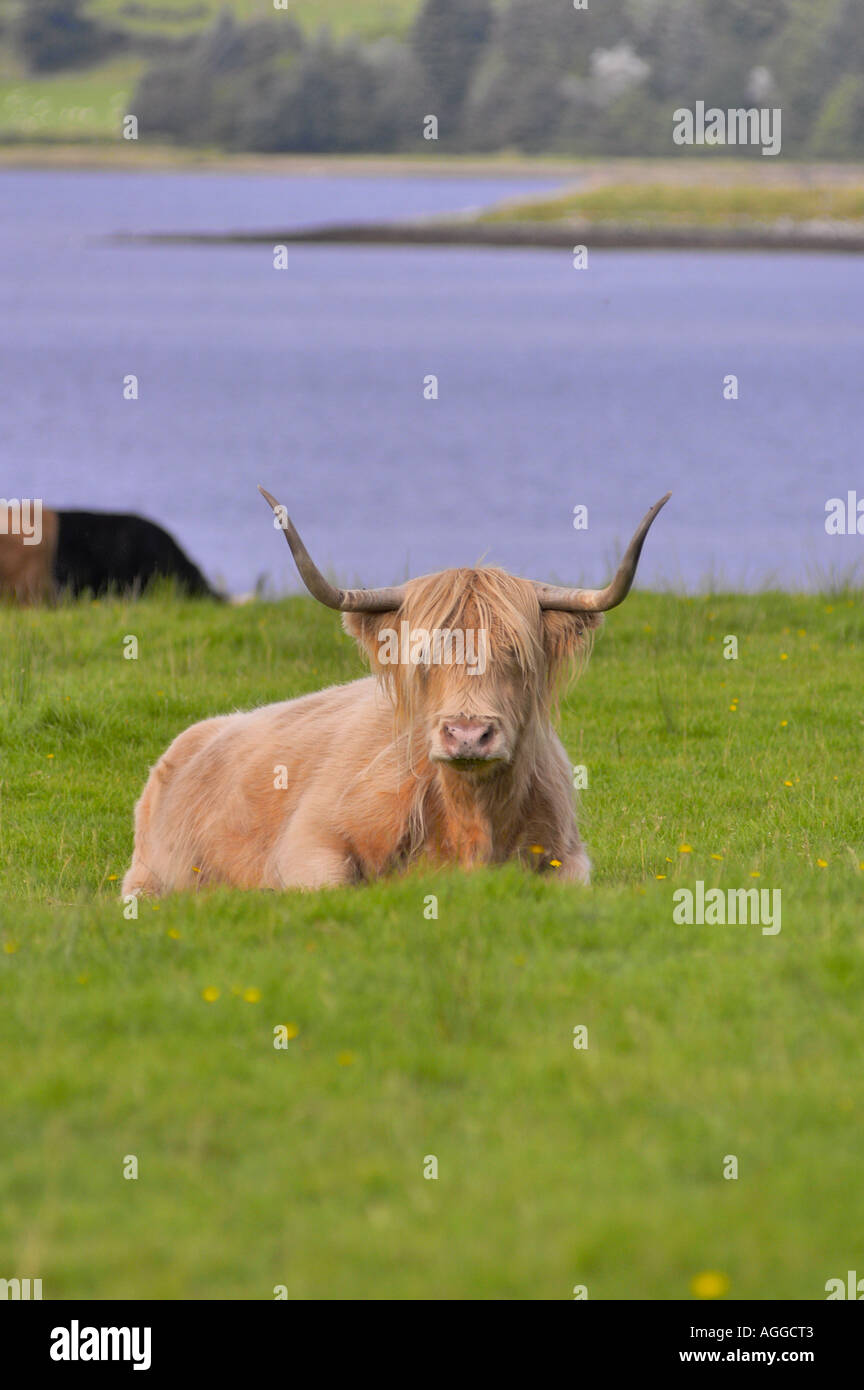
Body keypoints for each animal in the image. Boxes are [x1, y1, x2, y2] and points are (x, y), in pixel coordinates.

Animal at [122, 486, 670, 897]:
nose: (467, 735)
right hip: (147, 875)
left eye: (516, 651)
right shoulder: (308, 844)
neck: (471, 818)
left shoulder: (568, 856)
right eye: (423, 657)